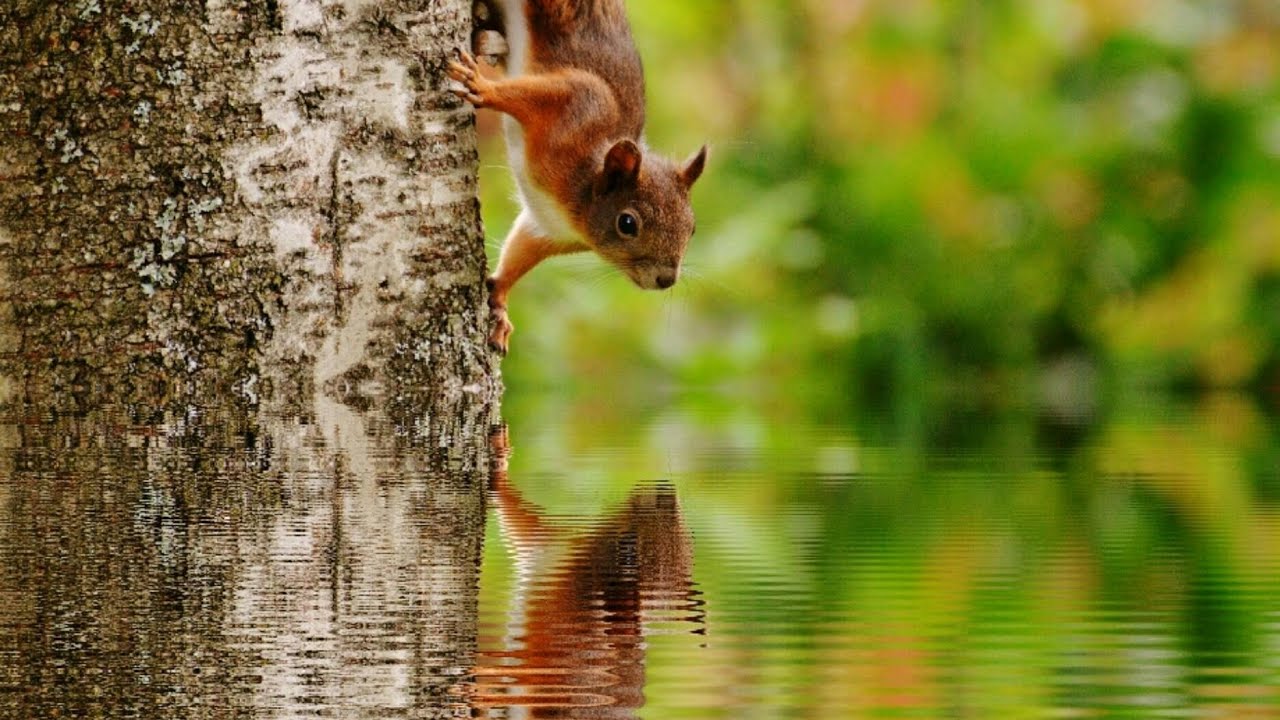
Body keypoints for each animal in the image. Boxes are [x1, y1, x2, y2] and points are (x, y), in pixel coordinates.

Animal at [449, 0, 708, 354]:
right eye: (627, 223)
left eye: (692, 228)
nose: (666, 279)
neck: (578, 203)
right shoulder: (580, 103)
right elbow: (533, 93)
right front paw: (481, 86)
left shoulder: (547, 229)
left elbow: (520, 251)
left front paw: (499, 303)